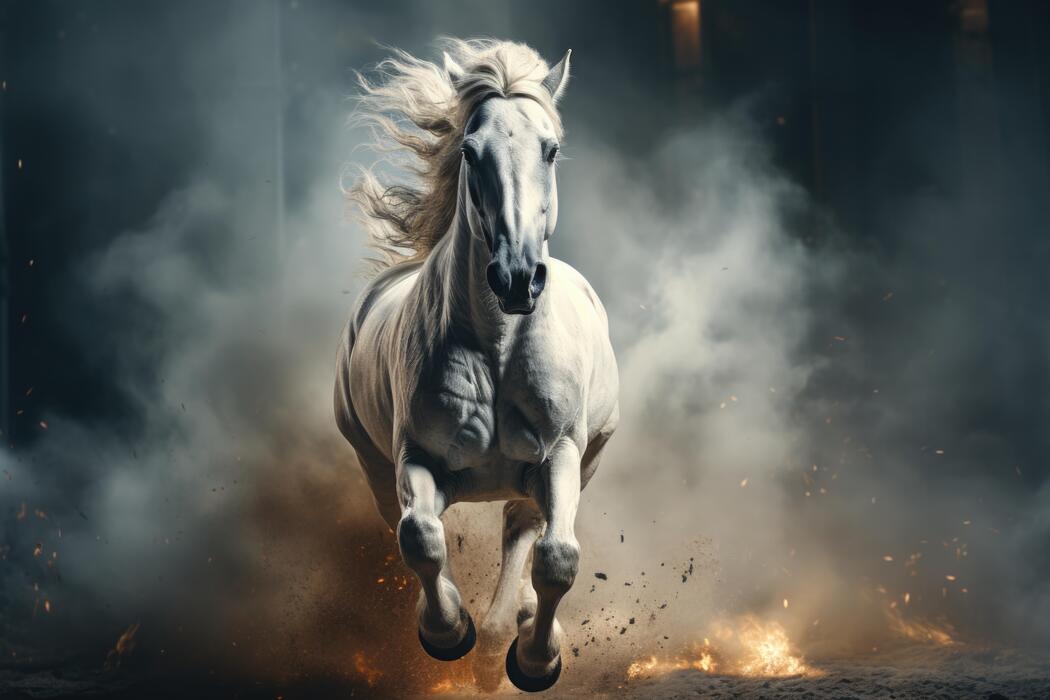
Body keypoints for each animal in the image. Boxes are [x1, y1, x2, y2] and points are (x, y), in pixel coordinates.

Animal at [335, 39, 619, 692]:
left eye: (551, 148)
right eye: (469, 150)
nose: (517, 277)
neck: (498, 346)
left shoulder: (561, 453)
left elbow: (557, 558)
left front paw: (536, 661)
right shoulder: (415, 458)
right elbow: (420, 538)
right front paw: (447, 632)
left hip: (578, 462)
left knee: (526, 530)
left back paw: (512, 636)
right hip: (371, 461)